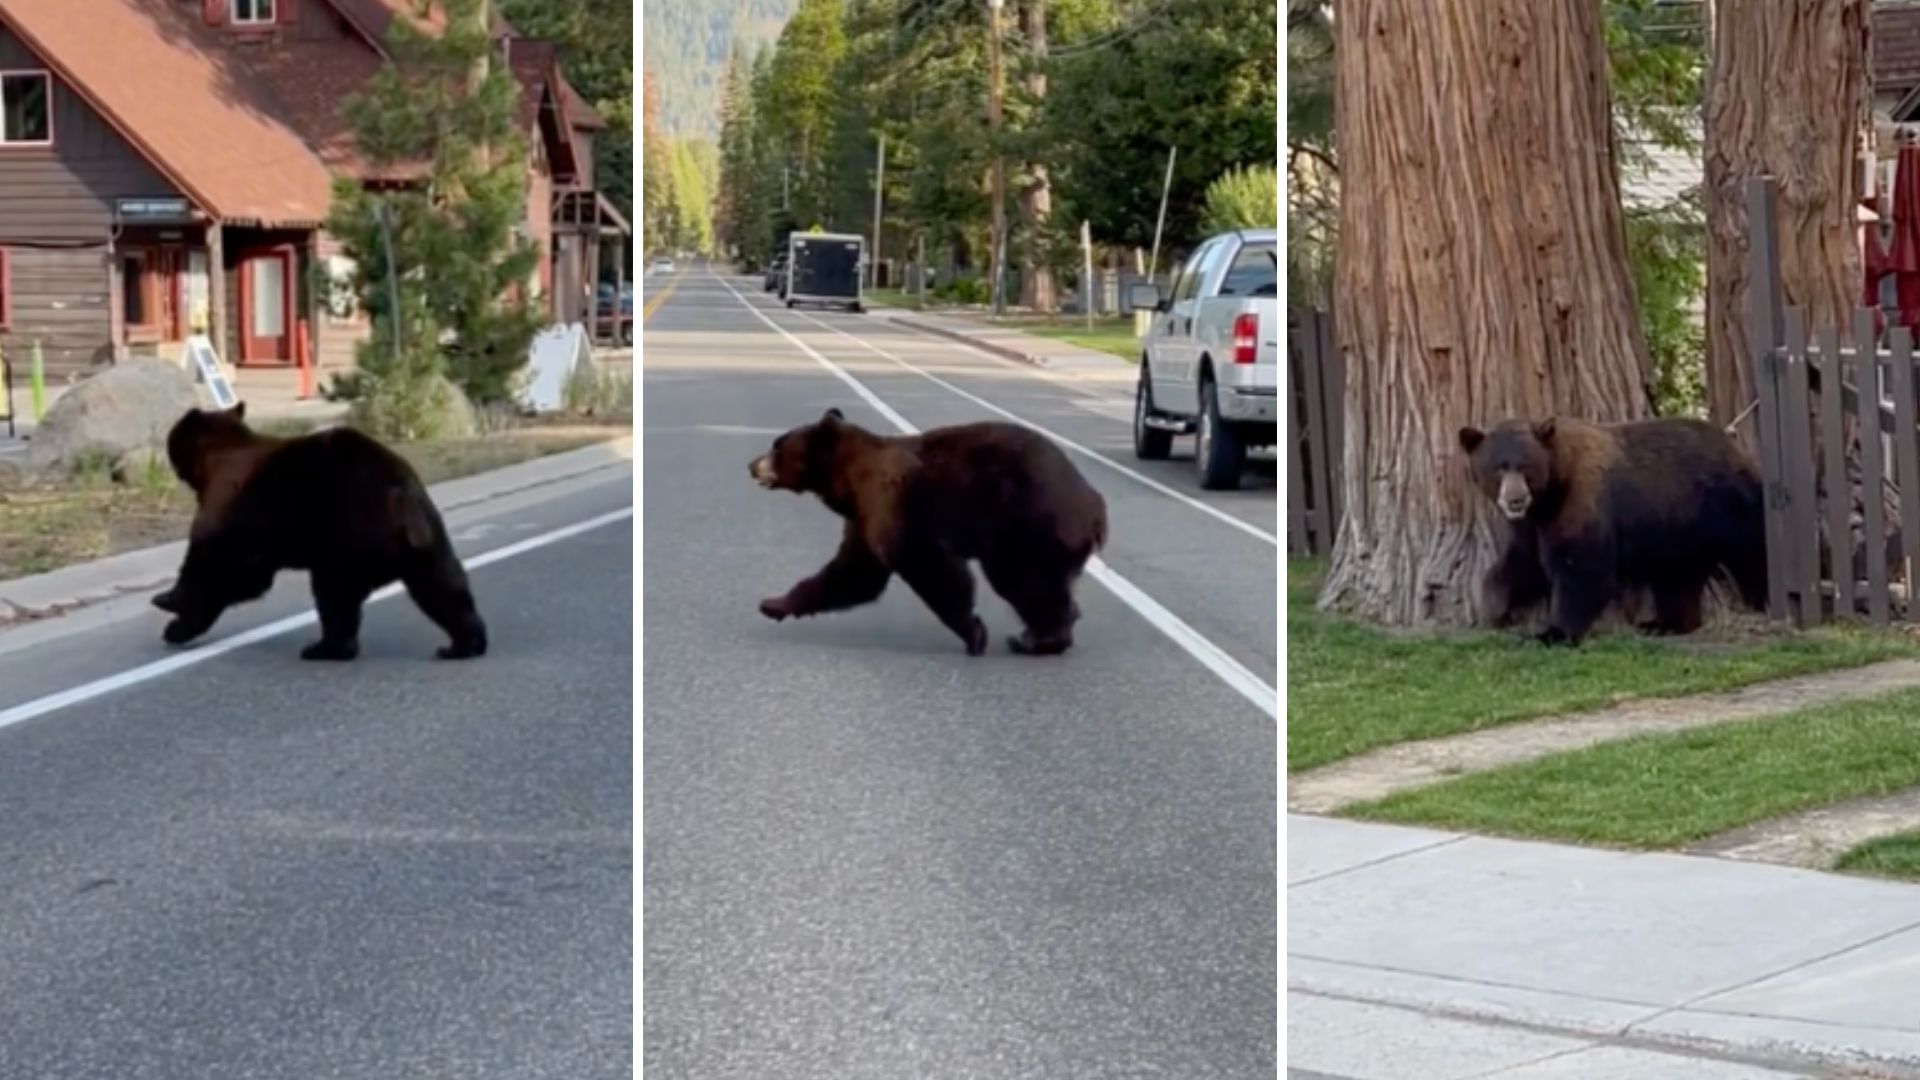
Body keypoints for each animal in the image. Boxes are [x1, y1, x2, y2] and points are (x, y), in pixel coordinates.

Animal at [150, 403, 488, 662]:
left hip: (347, 534)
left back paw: (324, 648)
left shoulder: (230, 504)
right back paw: (462, 645)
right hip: (427, 543)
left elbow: (222, 570)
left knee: (334, 595)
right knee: (443, 587)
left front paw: (171, 610)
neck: (212, 462)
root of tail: (400, 497)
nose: (166, 440)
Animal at [748, 408, 1108, 656]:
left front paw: (973, 633)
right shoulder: (864, 517)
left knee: (1024, 581)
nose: (752, 465)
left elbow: (929, 565)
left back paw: (1038, 639)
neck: (849, 481)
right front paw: (774, 604)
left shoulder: (894, 504)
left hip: (1029, 524)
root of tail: (1094, 506)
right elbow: (854, 572)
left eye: (777, 446)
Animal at [1457, 416, 1768, 647]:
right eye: (1498, 468)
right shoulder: (1532, 525)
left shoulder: (1581, 503)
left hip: (1726, 506)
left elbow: (1582, 569)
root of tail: (1739, 450)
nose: (1515, 500)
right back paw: (1663, 623)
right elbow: (1523, 563)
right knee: (1677, 577)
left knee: (1751, 555)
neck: (1553, 490)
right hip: (1678, 528)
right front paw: (1495, 607)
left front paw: (1553, 632)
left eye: (1525, 466)